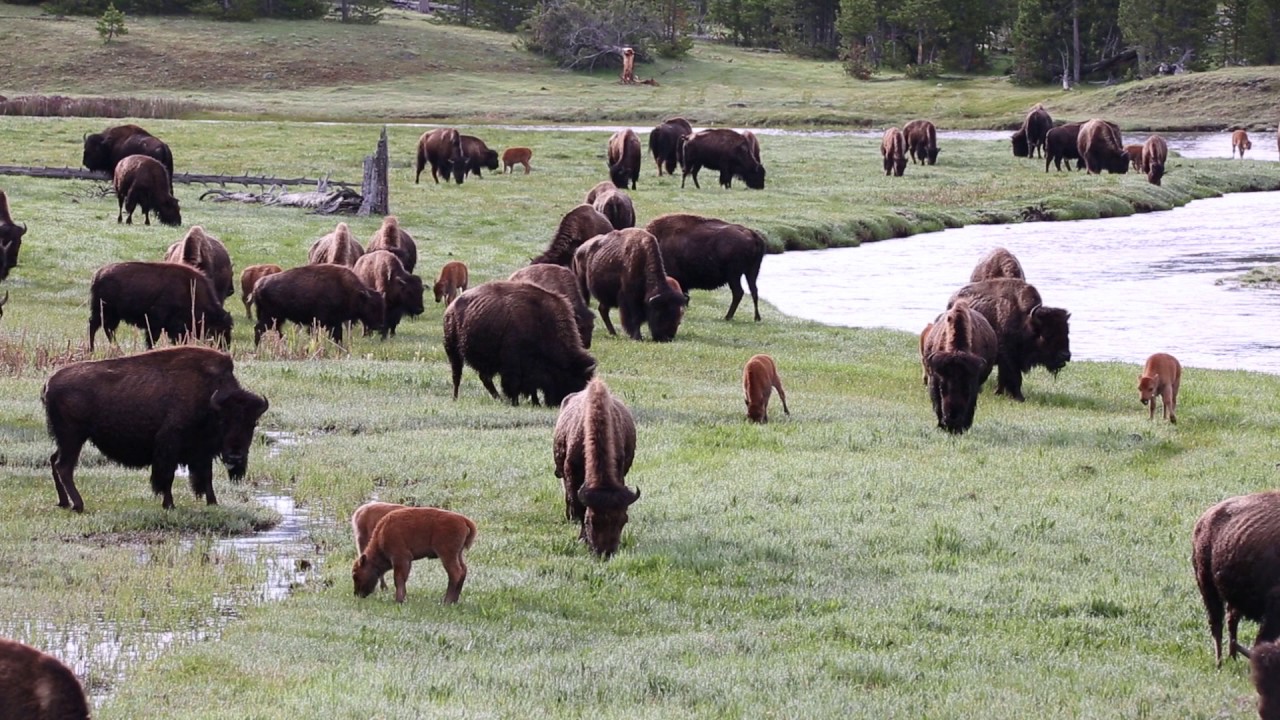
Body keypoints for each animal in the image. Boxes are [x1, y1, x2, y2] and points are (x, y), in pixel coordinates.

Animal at [42, 345, 269, 512]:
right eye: (223, 422)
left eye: (253, 423)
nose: (235, 456)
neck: (209, 399)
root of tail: (49, 383)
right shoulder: (169, 445)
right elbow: (166, 477)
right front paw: (169, 505)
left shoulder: (202, 452)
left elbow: (207, 476)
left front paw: (213, 503)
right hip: (73, 437)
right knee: (64, 466)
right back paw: (78, 505)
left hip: (65, 439)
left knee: (54, 461)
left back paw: (64, 502)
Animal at [88, 261, 232, 351]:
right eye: (220, 330)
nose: (225, 348)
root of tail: (98, 274)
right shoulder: (156, 324)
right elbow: (152, 340)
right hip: (104, 312)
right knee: (94, 326)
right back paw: (92, 350)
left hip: (112, 315)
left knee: (107, 329)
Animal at [252, 264, 385, 346]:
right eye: (372, 306)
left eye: (381, 306)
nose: (380, 325)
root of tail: (258, 285)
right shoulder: (320, 322)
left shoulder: (335, 322)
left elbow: (338, 337)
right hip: (271, 317)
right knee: (260, 329)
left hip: (277, 318)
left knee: (275, 330)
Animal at [443, 280, 596, 406]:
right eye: (574, 378)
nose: (560, 402)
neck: (542, 322)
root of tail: (450, 309)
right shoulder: (514, 364)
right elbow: (515, 383)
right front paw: (516, 402)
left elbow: (531, 386)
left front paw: (535, 402)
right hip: (453, 352)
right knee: (457, 376)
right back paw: (456, 398)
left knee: (484, 378)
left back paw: (499, 399)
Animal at [552, 377, 639, 557]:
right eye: (590, 520)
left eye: (623, 520)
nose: (605, 553)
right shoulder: (571, 474)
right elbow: (577, 504)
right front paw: (581, 538)